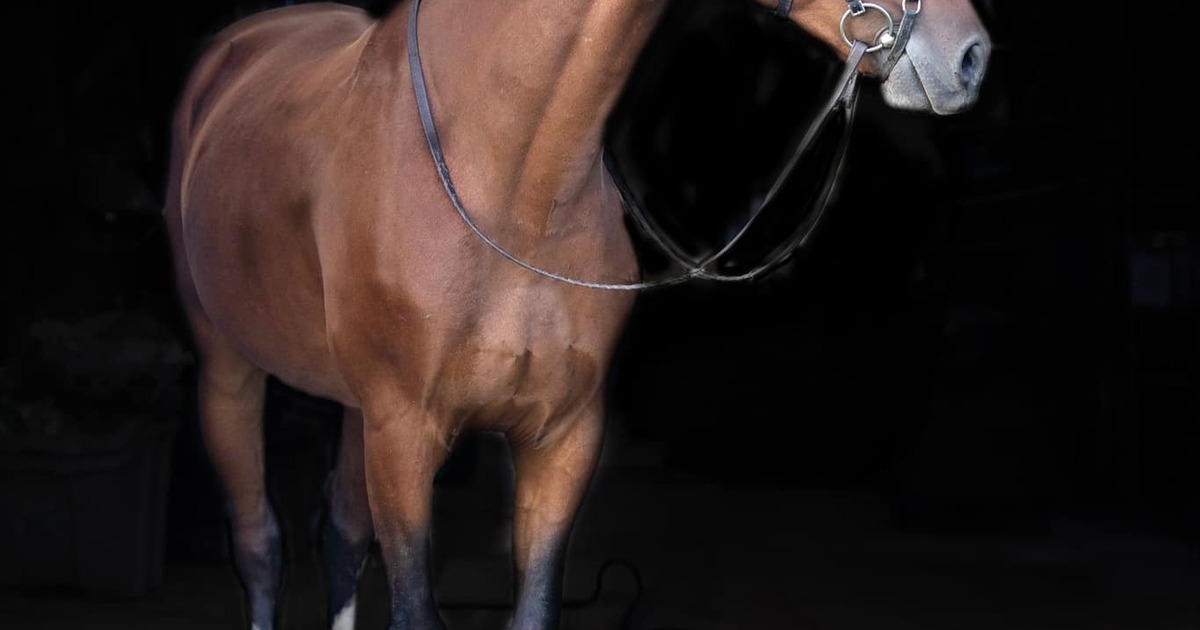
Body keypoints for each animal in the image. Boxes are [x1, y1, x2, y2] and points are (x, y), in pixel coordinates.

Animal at [163, 0, 990, 628]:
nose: (970, 55)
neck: (511, 179)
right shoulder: (403, 437)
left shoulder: (562, 439)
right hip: (232, 375)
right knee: (260, 544)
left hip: (351, 407)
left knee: (337, 536)